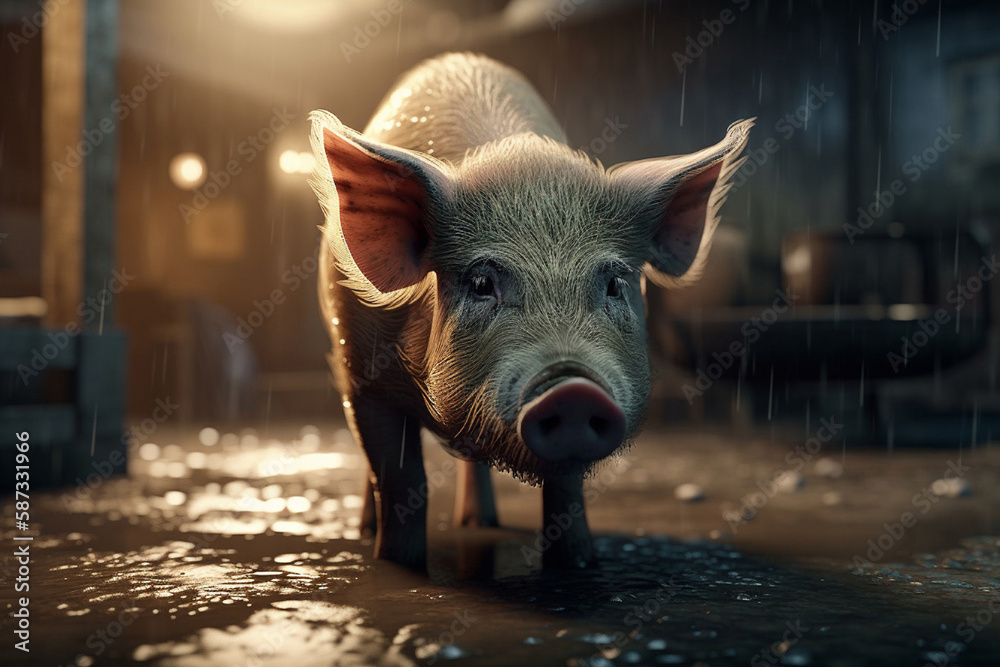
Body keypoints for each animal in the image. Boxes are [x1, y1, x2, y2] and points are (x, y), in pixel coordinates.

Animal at [309, 52, 751, 570]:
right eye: (481, 283)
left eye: (615, 284)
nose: (573, 387)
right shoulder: (361, 373)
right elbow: (400, 479)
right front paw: (398, 563)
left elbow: (566, 491)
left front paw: (577, 563)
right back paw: (368, 530)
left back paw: (479, 524)